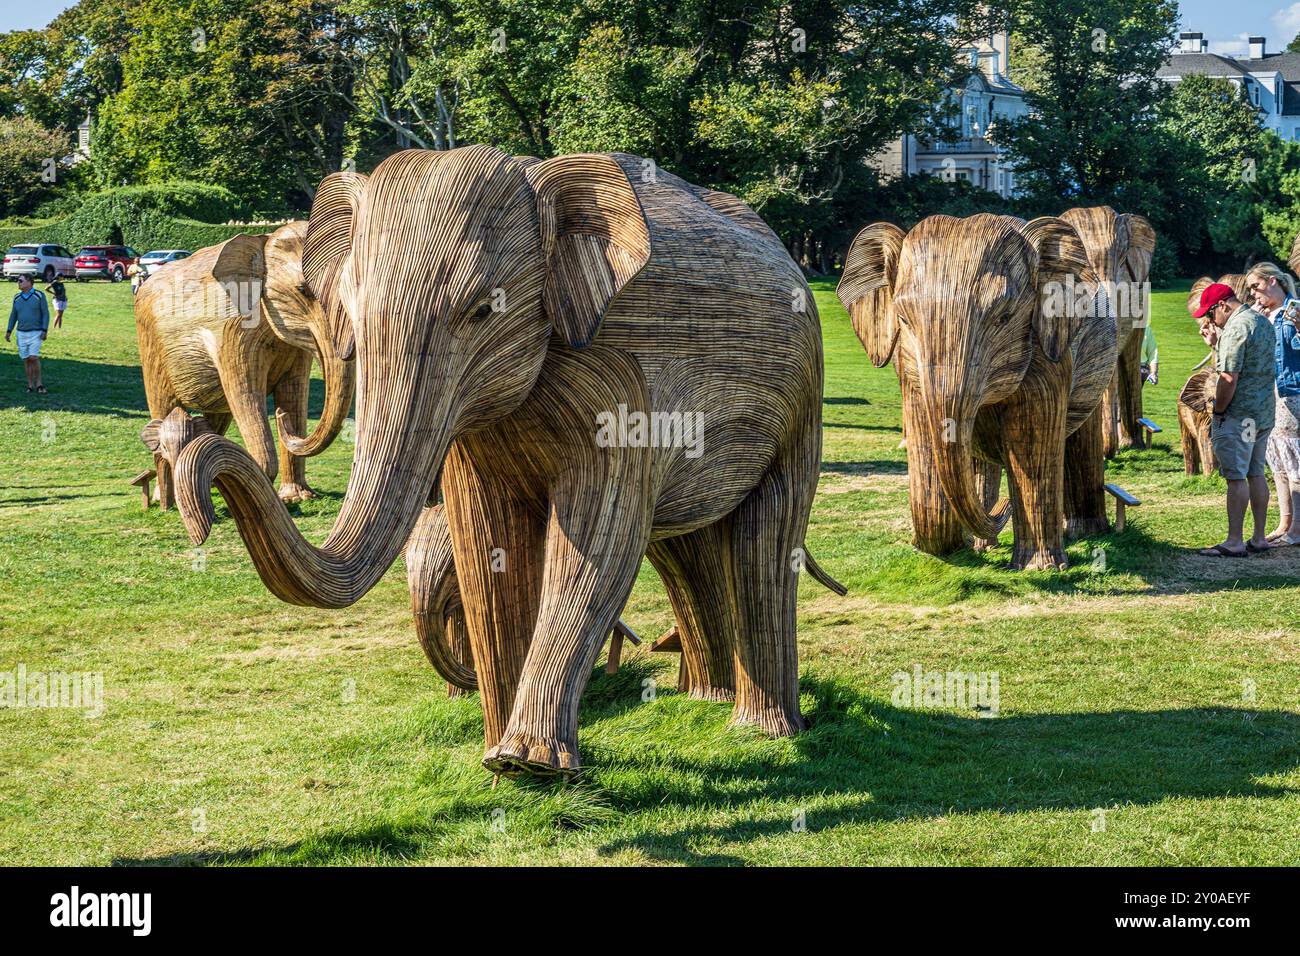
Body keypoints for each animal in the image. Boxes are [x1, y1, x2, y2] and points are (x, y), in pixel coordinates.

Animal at [134, 221, 355, 508]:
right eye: (304, 290)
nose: (280, 417)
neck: (262, 242)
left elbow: (294, 394)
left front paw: (296, 498)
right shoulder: (233, 332)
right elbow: (246, 394)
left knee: (214, 420)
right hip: (150, 345)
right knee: (162, 407)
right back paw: (166, 501)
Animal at [161, 145, 829, 777]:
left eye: (483, 310)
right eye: (347, 309)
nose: (199, 517)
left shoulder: (622, 381)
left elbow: (599, 539)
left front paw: (525, 763)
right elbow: (485, 538)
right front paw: (498, 761)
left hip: (802, 398)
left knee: (765, 540)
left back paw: (762, 731)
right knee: (681, 547)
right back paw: (706, 701)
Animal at [837, 213, 1116, 570]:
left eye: (1005, 317)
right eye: (904, 319)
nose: (1001, 510)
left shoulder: (1046, 358)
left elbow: (1031, 446)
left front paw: (1040, 568)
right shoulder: (908, 369)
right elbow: (927, 441)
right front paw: (950, 549)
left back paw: (1084, 534)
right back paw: (985, 546)